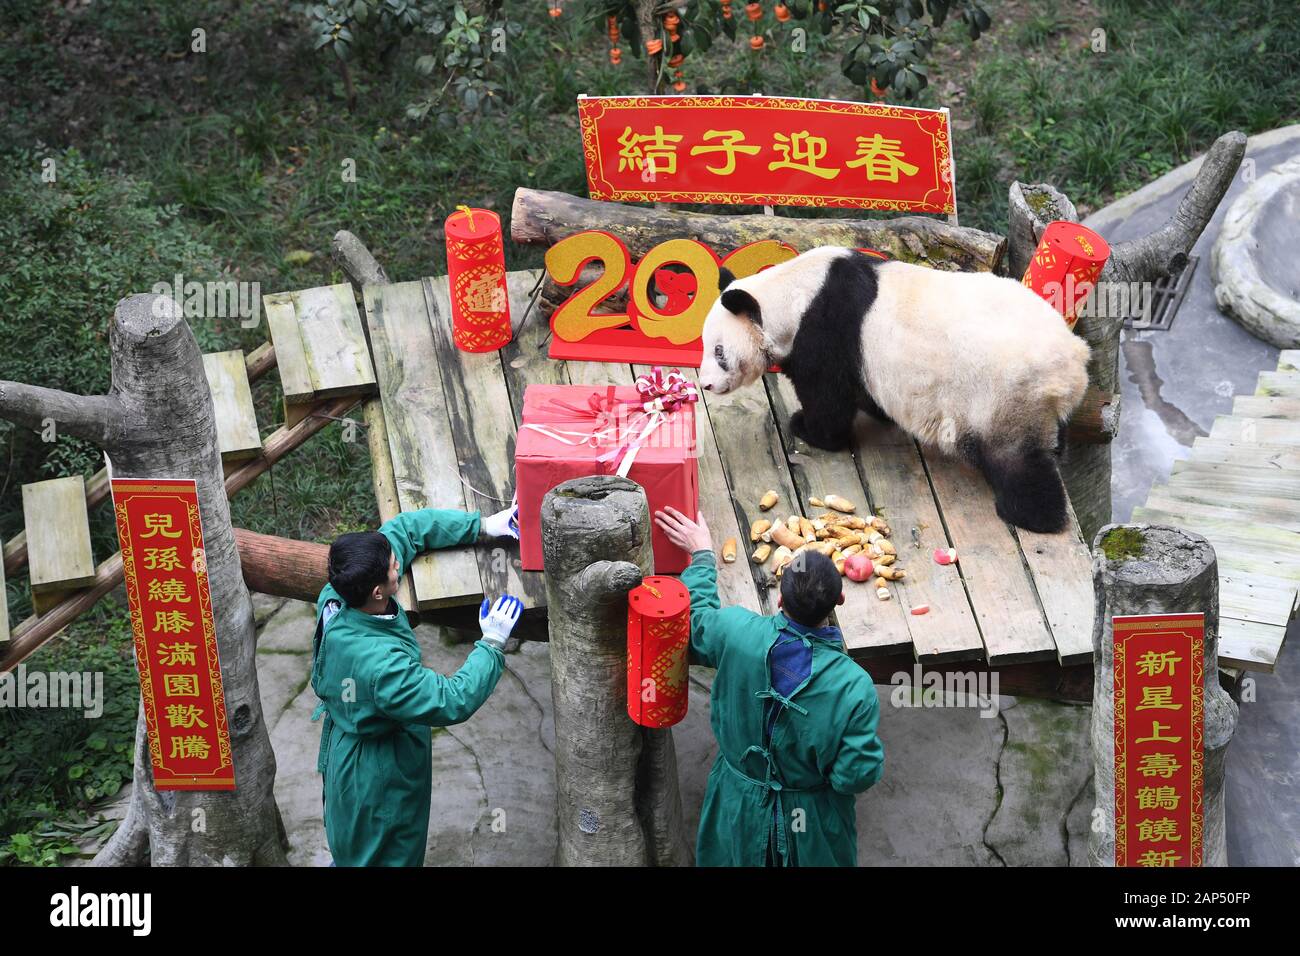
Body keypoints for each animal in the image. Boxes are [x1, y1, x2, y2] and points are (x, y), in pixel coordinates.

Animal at [699, 246, 1091, 534]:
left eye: (718, 351)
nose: (706, 383)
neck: (791, 294)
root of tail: (1073, 363)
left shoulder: (826, 330)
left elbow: (827, 398)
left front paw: (805, 427)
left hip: (1004, 396)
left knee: (1016, 461)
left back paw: (1027, 515)